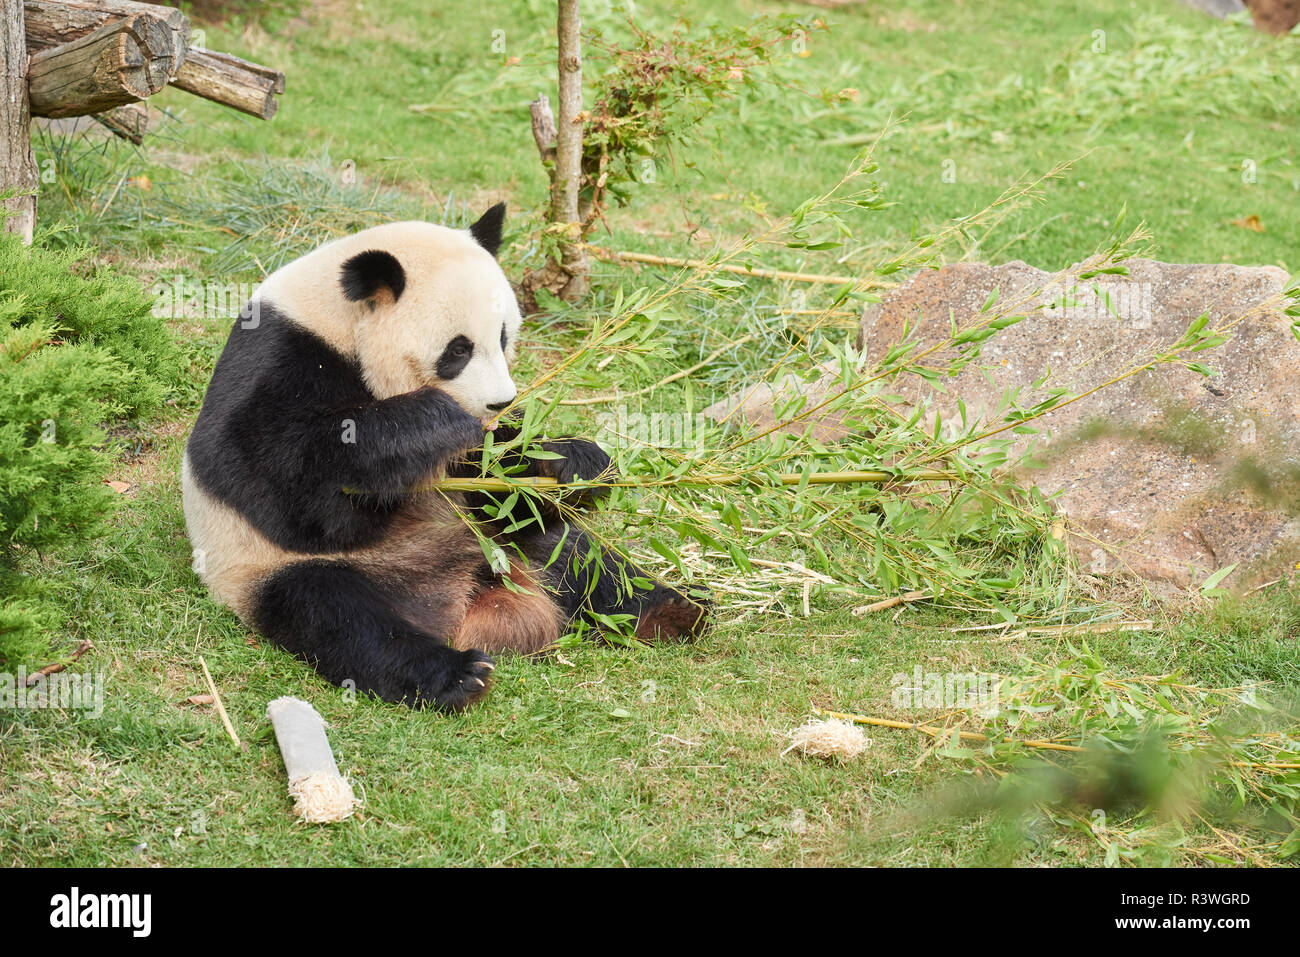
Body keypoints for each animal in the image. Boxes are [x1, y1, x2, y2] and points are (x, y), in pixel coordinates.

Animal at [182, 204, 709, 710]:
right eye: (458, 350)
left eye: (503, 337)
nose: (499, 402)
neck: (337, 323)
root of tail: (460, 605)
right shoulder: (278, 360)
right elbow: (285, 482)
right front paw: (438, 421)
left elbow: (503, 475)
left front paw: (578, 463)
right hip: (280, 570)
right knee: (340, 615)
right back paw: (455, 675)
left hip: (502, 540)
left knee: (575, 553)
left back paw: (672, 609)